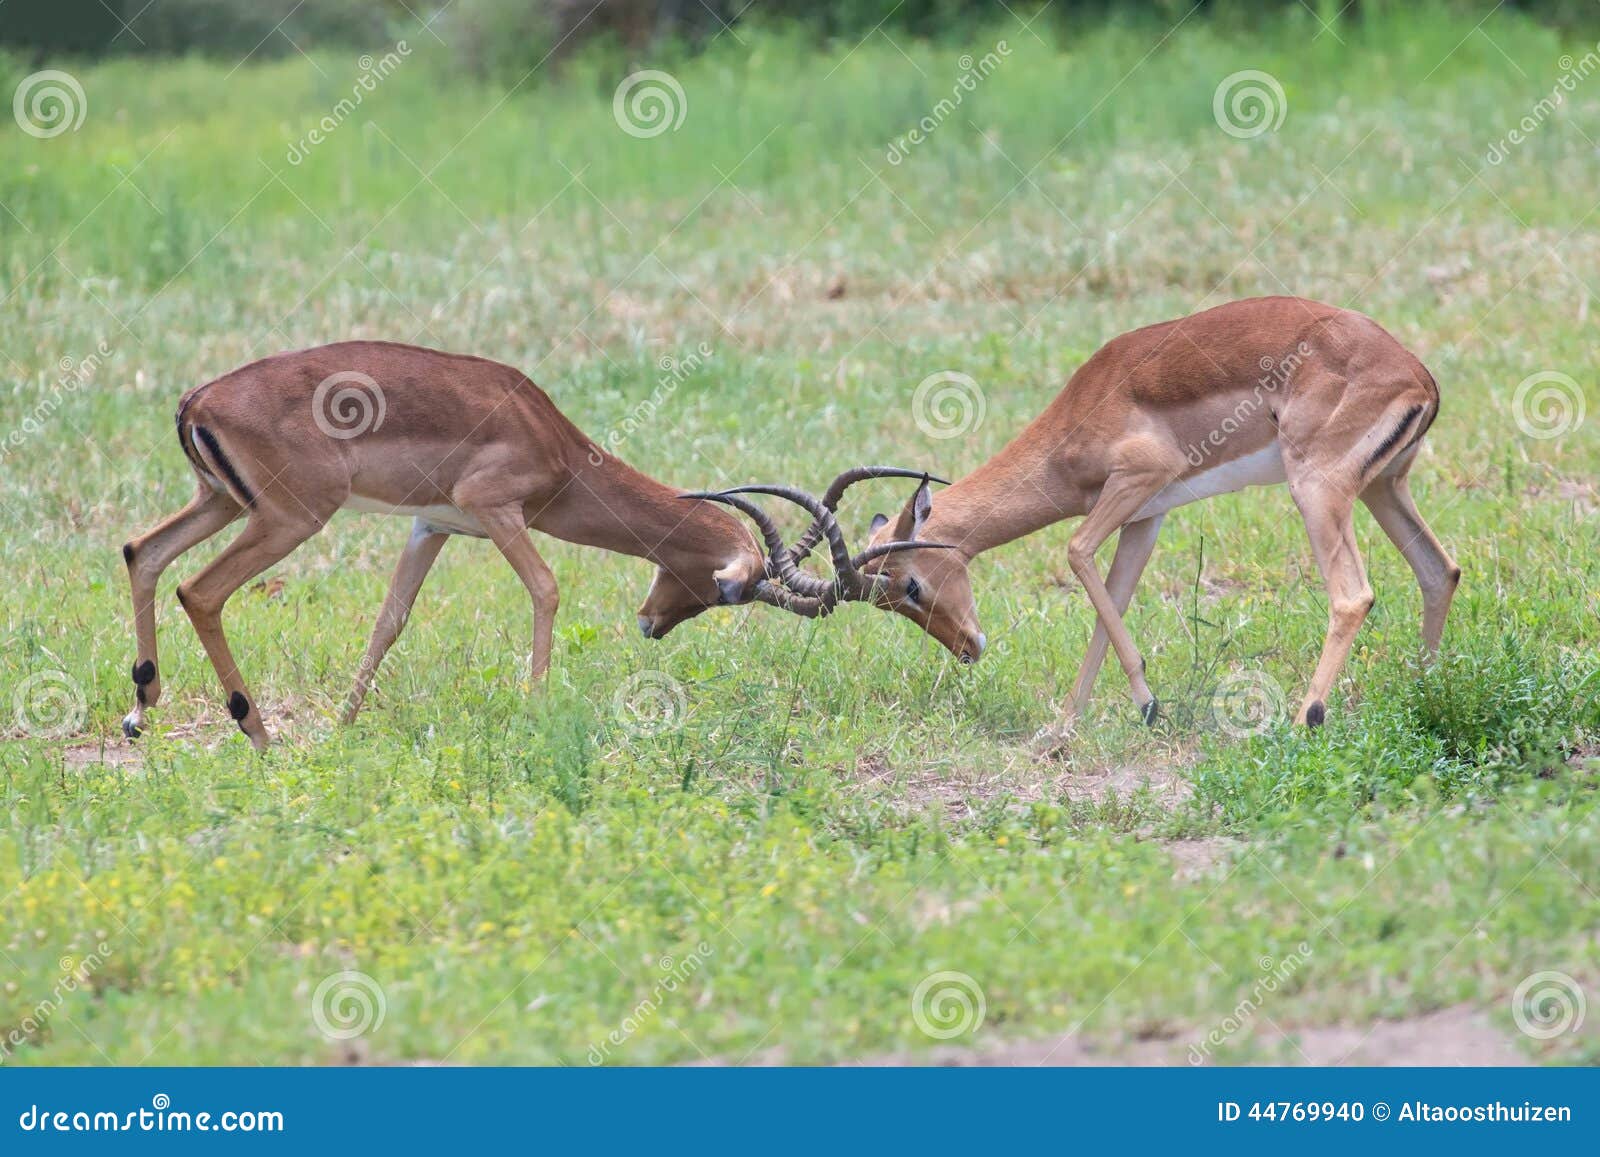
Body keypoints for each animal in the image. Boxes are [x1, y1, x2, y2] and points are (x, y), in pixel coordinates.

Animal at [120, 340, 940, 749]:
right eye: (723, 591)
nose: (650, 623)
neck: (559, 447)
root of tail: (197, 401)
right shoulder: (496, 511)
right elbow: (547, 589)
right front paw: (540, 710)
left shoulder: (434, 525)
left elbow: (390, 620)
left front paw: (345, 729)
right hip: (290, 517)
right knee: (200, 589)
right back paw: (257, 733)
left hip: (222, 501)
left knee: (142, 550)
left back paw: (141, 710)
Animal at [692, 297, 1460, 751]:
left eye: (909, 585)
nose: (967, 647)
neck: (1086, 406)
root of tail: (1418, 374)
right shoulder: (1148, 515)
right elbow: (1108, 601)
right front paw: (1062, 726)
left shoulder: (1136, 485)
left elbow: (1074, 554)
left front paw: (1148, 707)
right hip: (1384, 488)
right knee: (1439, 570)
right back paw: (1421, 698)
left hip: (1318, 489)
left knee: (1353, 594)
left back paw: (1305, 719)